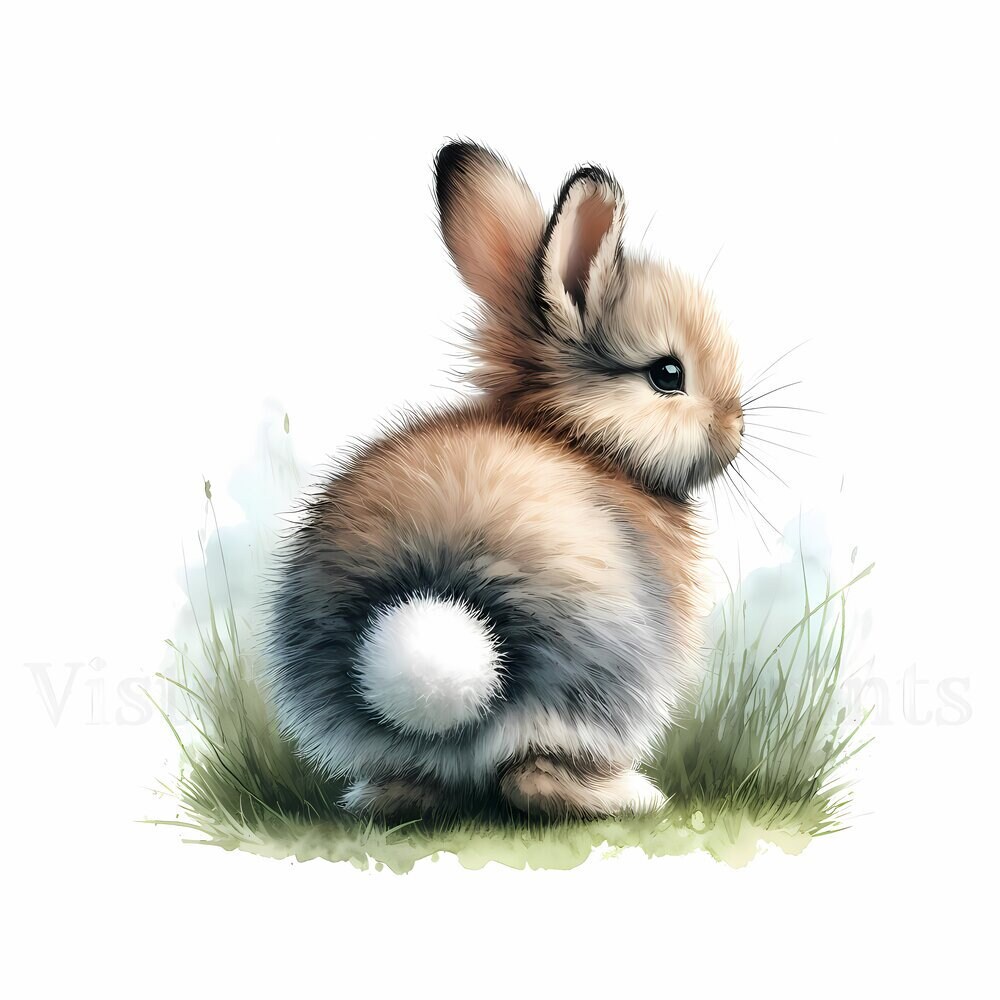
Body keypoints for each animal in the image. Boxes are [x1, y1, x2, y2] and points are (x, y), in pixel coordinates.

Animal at [265, 141, 744, 820]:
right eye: (668, 373)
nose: (736, 428)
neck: (582, 438)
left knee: (415, 790)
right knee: (535, 779)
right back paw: (634, 796)